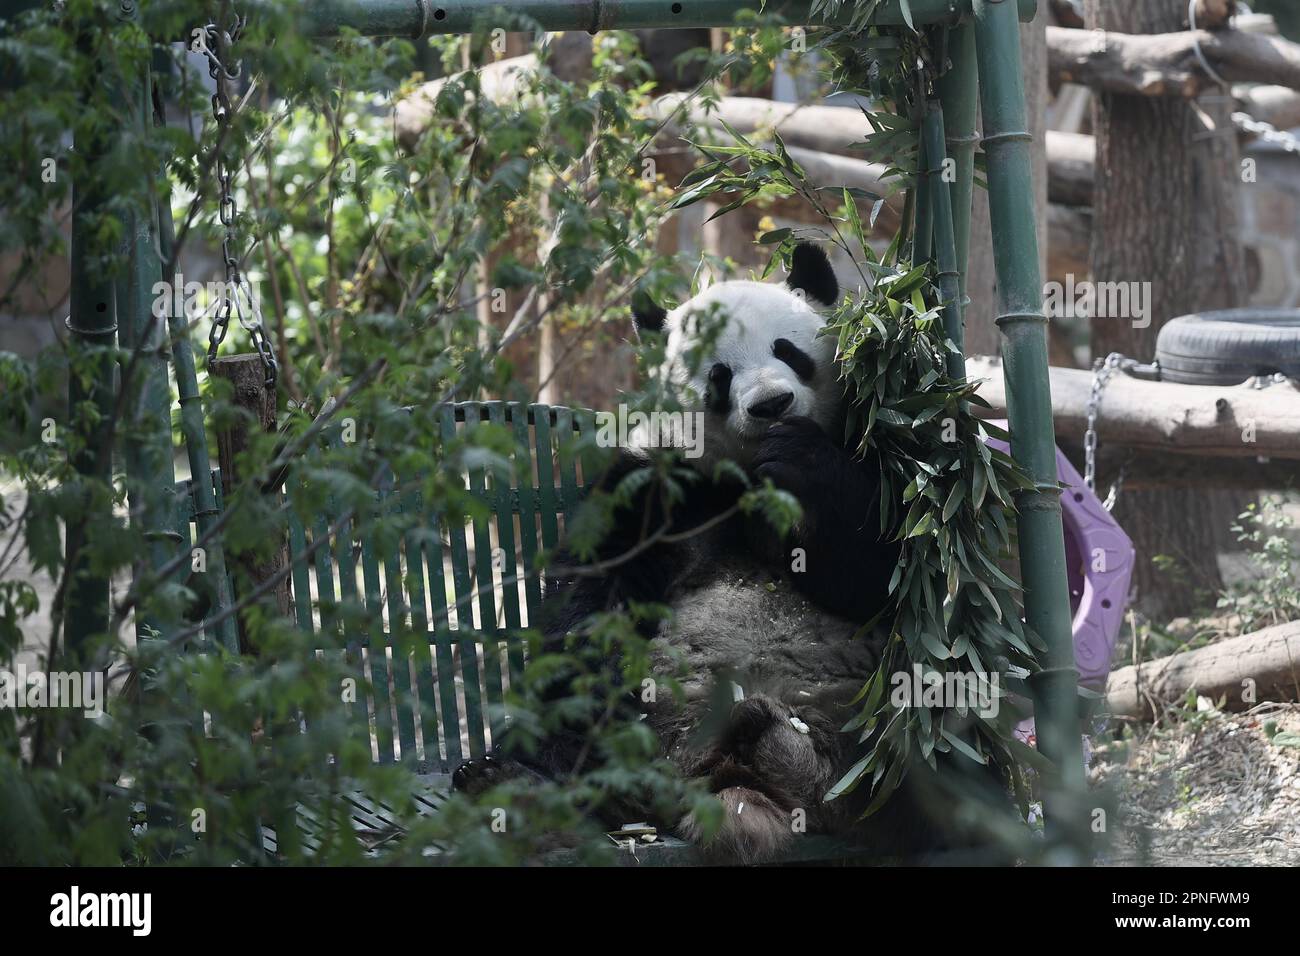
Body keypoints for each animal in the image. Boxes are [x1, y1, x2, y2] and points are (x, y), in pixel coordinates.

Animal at [454, 244, 940, 861]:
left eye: (787, 351)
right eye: (718, 375)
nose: (772, 405)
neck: (745, 479)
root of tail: (728, 778)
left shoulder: (880, 450)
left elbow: (883, 571)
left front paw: (801, 461)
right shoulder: (655, 483)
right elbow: (593, 598)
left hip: (874, 720)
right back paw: (519, 786)